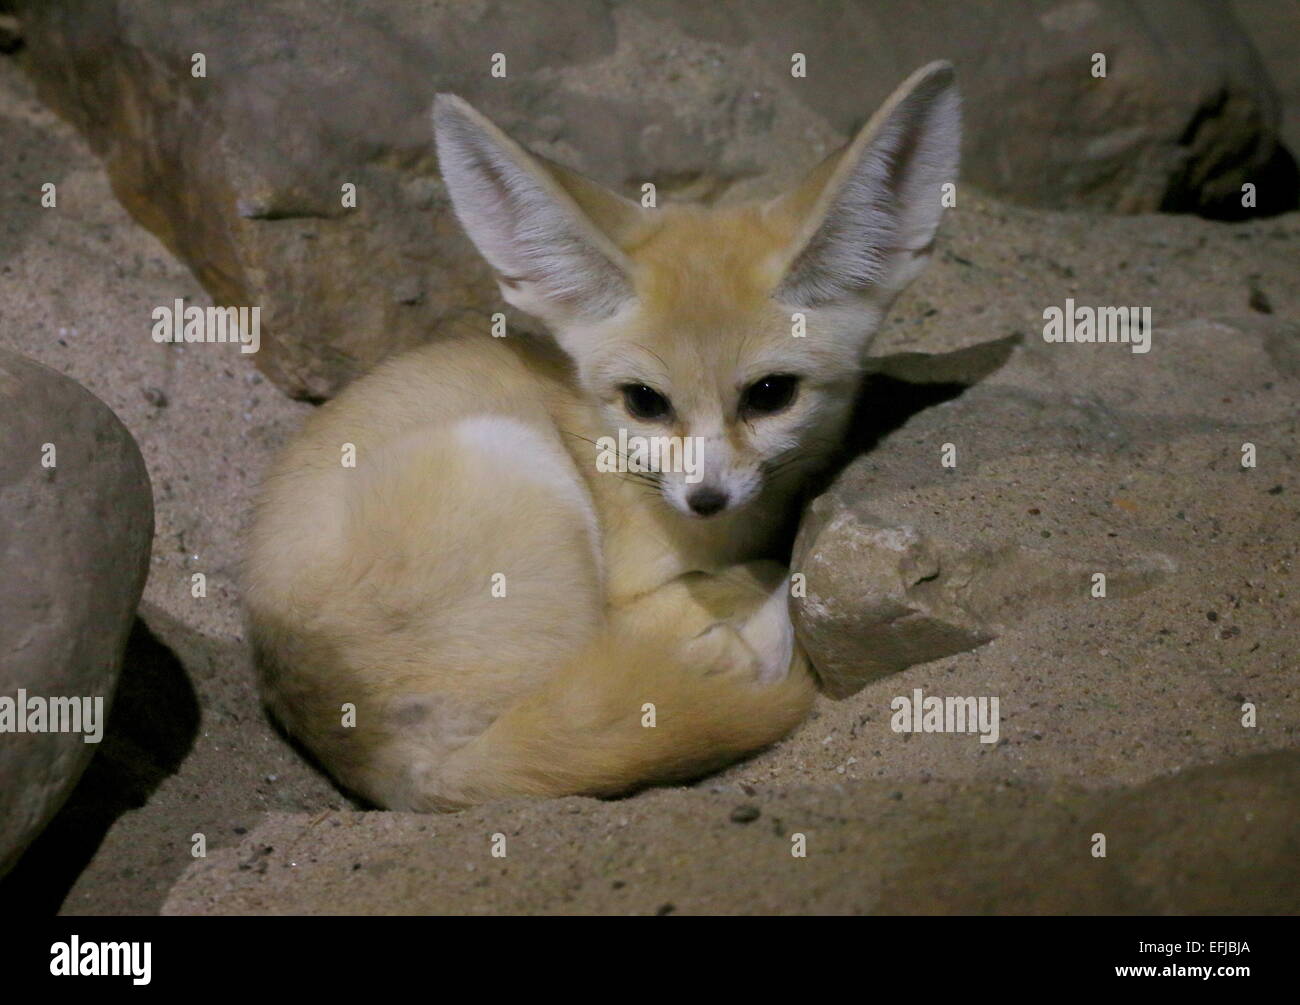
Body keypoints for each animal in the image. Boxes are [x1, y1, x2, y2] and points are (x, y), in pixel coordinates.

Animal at [244, 62, 961, 811]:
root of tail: (406, 772)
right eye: (645, 401)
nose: (705, 499)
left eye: (770, 394)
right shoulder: (634, 585)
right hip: (521, 470)